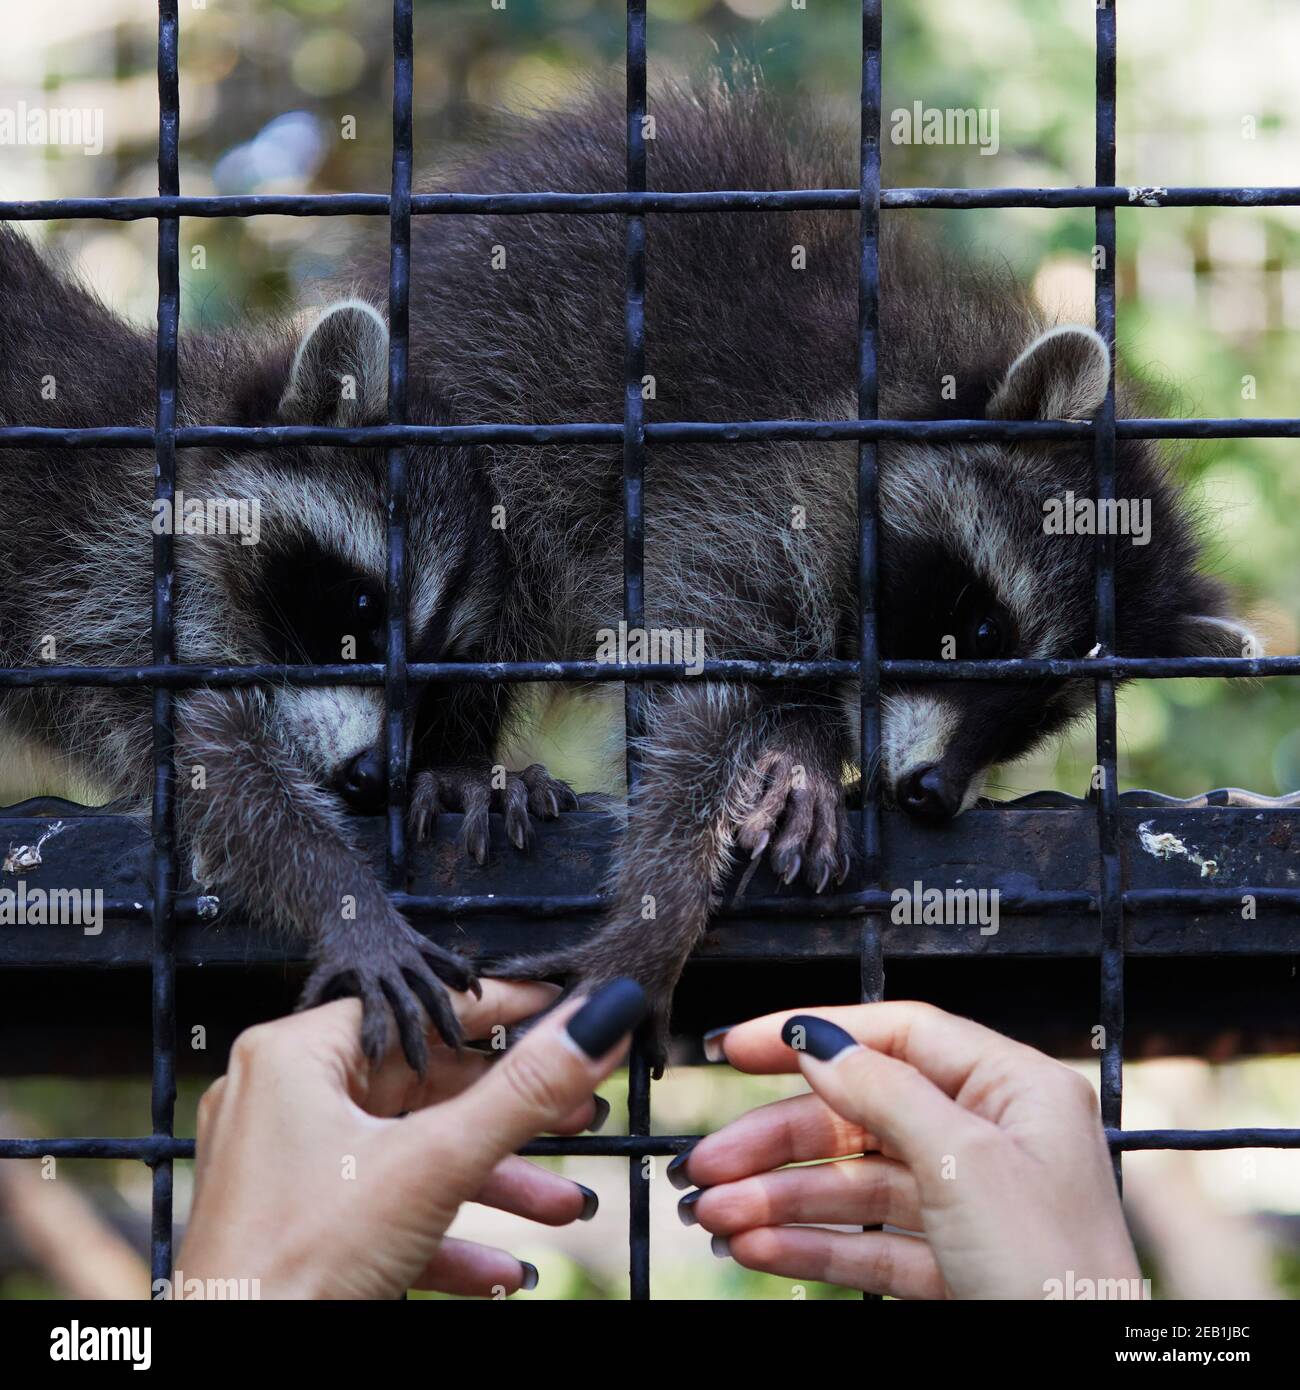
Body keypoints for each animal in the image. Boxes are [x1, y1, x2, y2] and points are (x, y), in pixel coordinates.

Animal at [0, 227, 573, 1071]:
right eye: (362, 608)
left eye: (437, 676)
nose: (374, 776)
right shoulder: (118, 594)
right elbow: (218, 770)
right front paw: (342, 893)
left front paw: (461, 770)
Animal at [381, 82, 1255, 1068]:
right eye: (982, 632)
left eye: (1039, 718)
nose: (933, 795)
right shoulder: (744, 500)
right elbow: (695, 694)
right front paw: (662, 902)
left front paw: (803, 750)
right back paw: (460, 753)